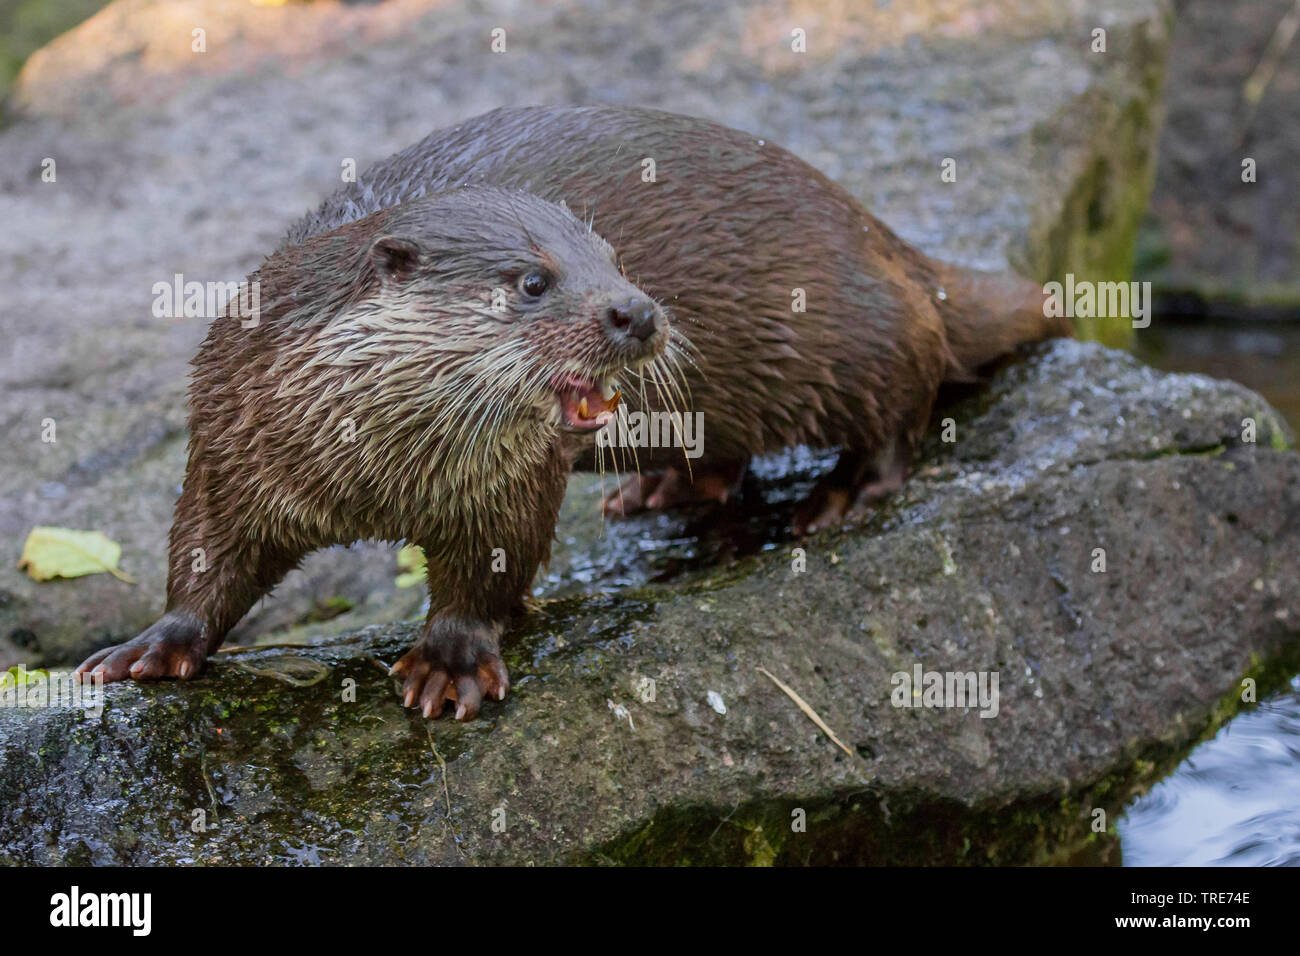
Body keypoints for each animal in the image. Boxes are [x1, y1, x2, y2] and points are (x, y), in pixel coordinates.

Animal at [75, 186, 670, 720]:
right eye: (534, 281)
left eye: (617, 261)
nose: (637, 310)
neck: (374, 481)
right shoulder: (228, 442)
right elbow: (206, 550)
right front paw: (156, 644)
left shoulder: (518, 480)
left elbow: (488, 570)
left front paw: (449, 661)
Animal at [290, 105, 1071, 532]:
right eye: (533, 283)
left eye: (612, 260)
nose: (637, 312)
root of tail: (873, 229)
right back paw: (661, 489)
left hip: (858, 333)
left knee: (907, 394)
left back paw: (835, 499)